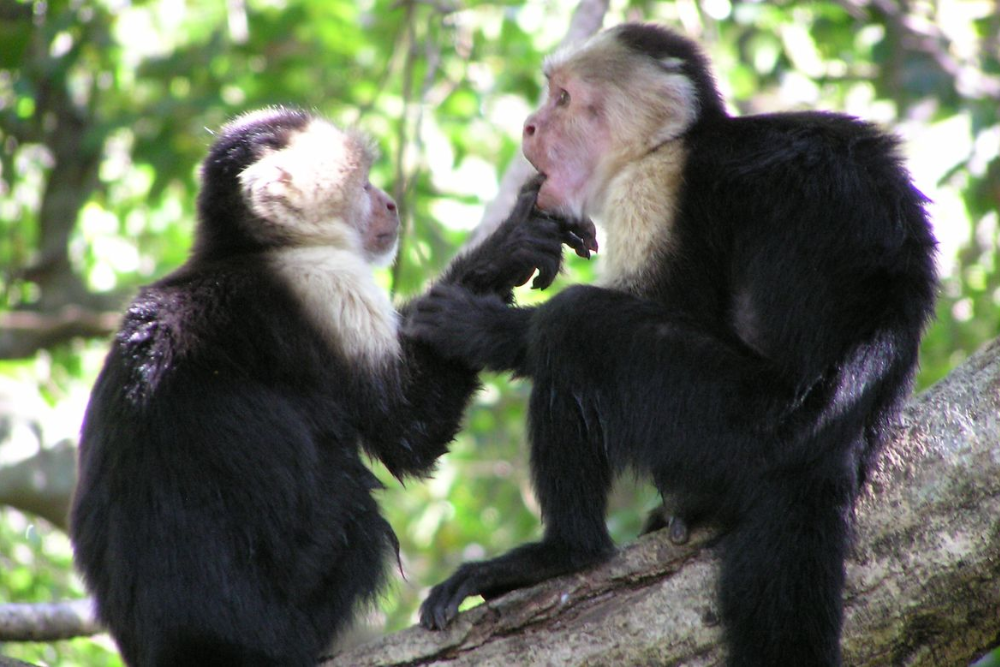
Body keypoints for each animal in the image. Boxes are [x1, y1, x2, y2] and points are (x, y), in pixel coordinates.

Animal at [69, 106, 590, 667]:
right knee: (354, 501)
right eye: (363, 185)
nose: (389, 202)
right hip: (288, 616)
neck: (253, 249)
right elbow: (411, 430)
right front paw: (507, 250)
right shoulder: (326, 284)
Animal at [405, 24, 938, 666]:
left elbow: (669, 307)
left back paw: (564, 554)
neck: (673, 140)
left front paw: (483, 328)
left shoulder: (658, 186)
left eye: (562, 99)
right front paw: (515, 239)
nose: (529, 126)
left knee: (574, 329)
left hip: (747, 425)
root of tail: (832, 437)